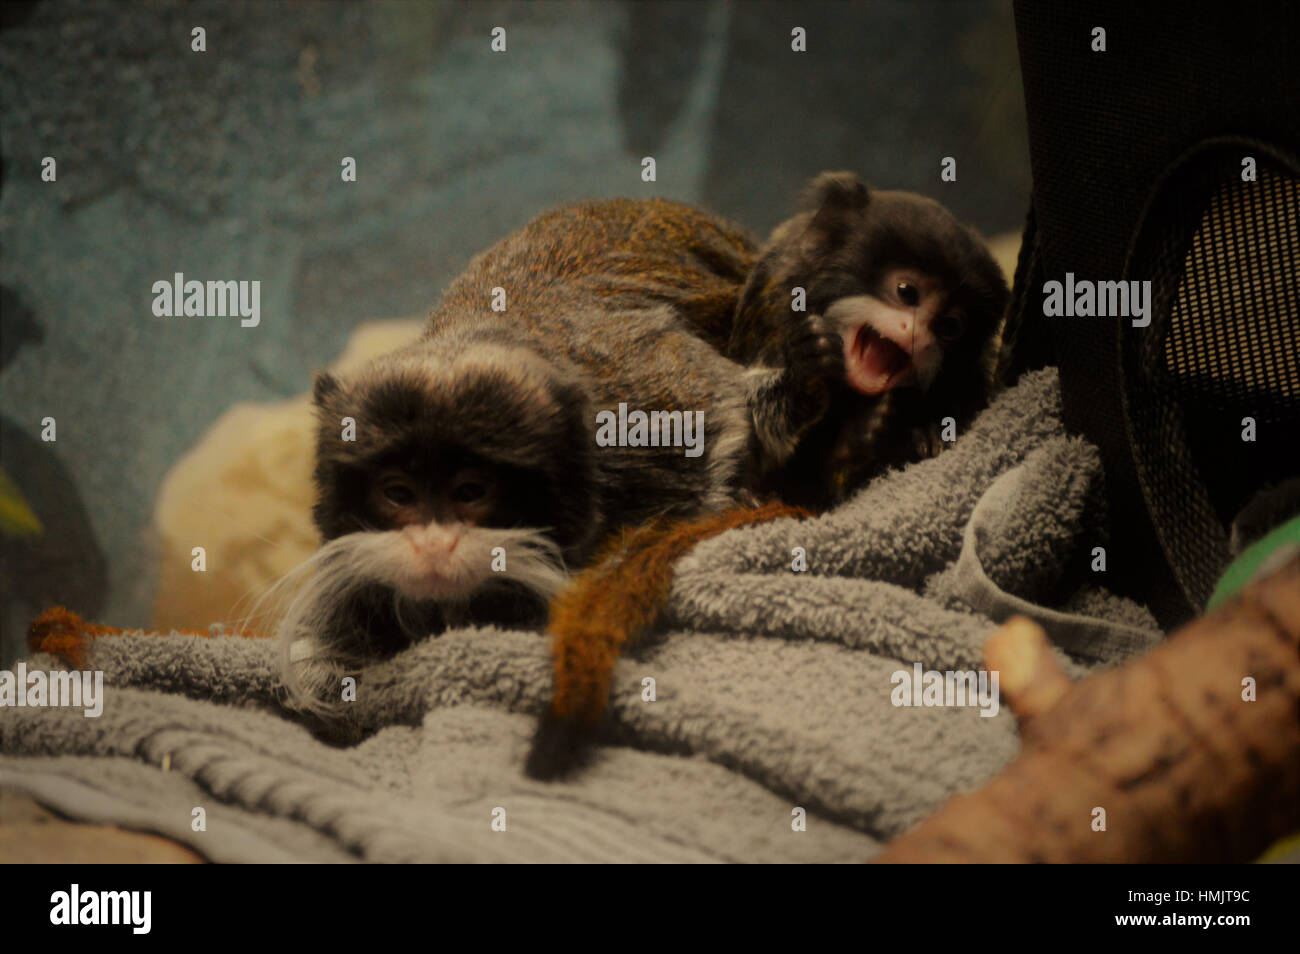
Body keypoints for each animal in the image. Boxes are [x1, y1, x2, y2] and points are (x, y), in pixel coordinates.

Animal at [526, 171, 1010, 778]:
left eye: (951, 327)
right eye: (907, 293)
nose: (919, 336)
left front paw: (913, 434)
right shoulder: (774, 296)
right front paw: (814, 394)